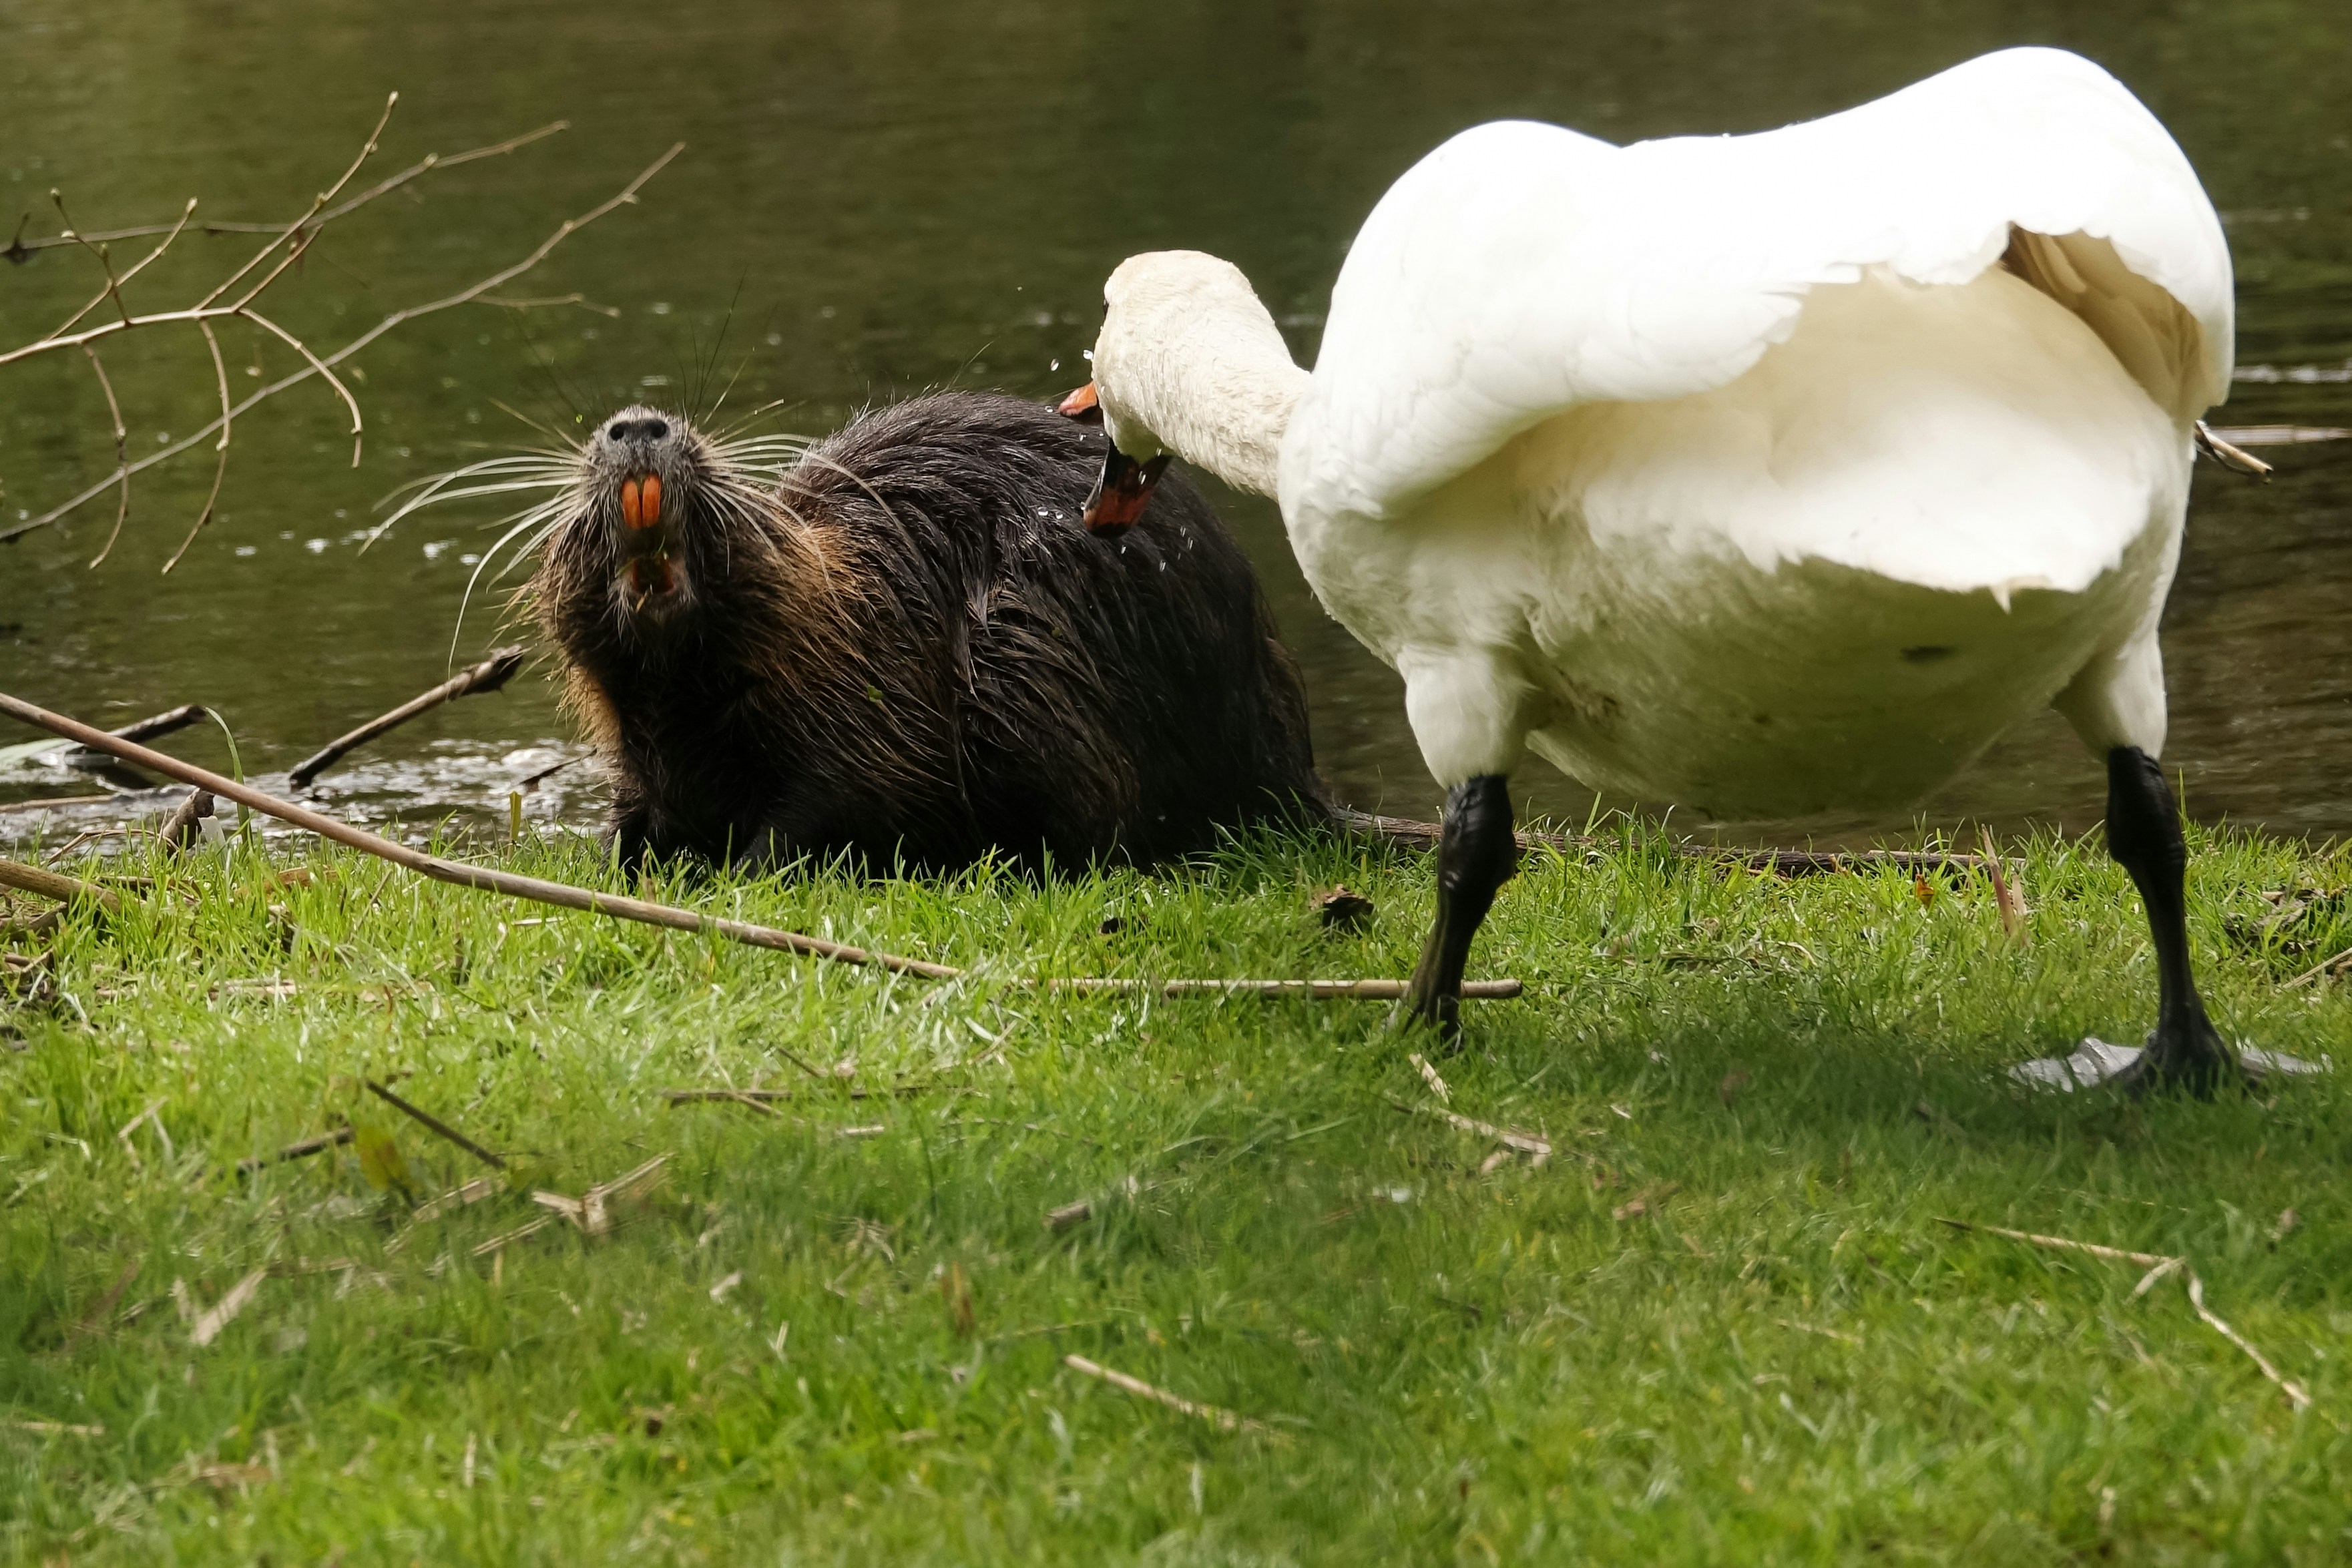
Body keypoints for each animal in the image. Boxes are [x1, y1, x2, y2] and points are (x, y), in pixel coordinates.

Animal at [528, 391, 1326, 870]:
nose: (638, 425)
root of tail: (1292, 774)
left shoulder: (866, 693)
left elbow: (834, 798)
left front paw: (744, 873)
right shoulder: (639, 742)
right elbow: (632, 811)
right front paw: (609, 862)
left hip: (1015, 667)